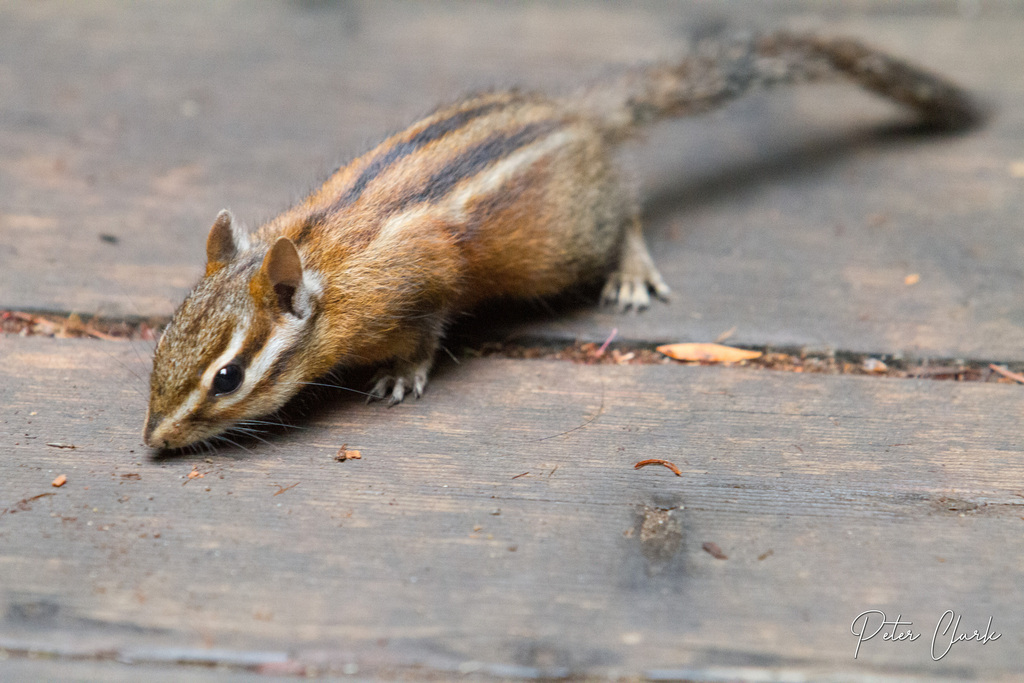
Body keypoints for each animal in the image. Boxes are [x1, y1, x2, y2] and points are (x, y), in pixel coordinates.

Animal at [144, 32, 982, 451]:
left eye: (226, 377)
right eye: (158, 343)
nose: (153, 439)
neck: (324, 261)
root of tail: (579, 113)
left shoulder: (421, 289)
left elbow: (426, 332)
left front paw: (402, 376)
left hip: (569, 241)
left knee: (630, 211)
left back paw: (632, 272)